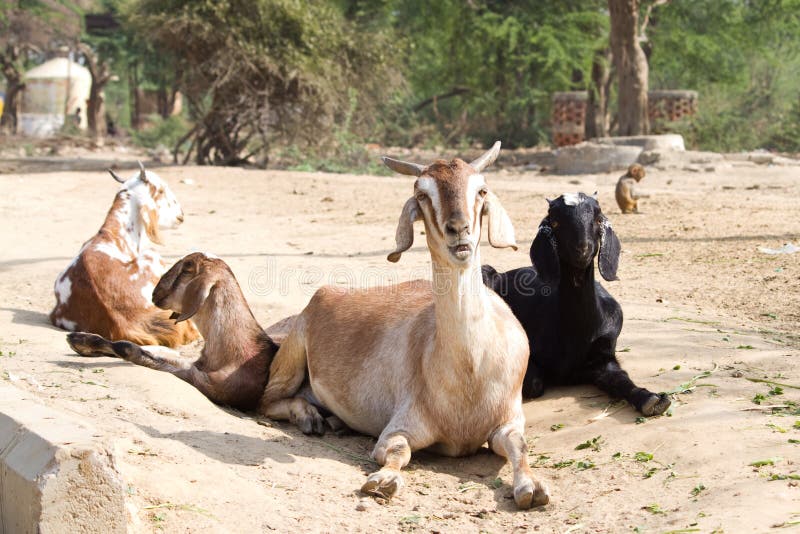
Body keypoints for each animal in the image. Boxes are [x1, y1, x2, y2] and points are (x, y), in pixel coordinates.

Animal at [66, 252, 280, 410]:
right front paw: (81, 340)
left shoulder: (207, 382)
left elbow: (129, 349)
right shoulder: (195, 363)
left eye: (187, 268)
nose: (155, 292)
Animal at [259, 143, 550, 509]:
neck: (469, 370)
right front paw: (383, 481)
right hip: (291, 357)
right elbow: (398, 450)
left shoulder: (507, 419)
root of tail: (326, 293)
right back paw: (310, 417)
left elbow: (519, 445)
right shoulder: (400, 425)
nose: (459, 230)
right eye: (422, 194)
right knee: (267, 400)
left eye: (481, 190)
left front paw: (532, 487)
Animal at [482, 193, 671, 417]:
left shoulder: (603, 356)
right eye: (555, 222)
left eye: (597, 219)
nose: (583, 249)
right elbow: (533, 382)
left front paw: (652, 399)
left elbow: (620, 378)